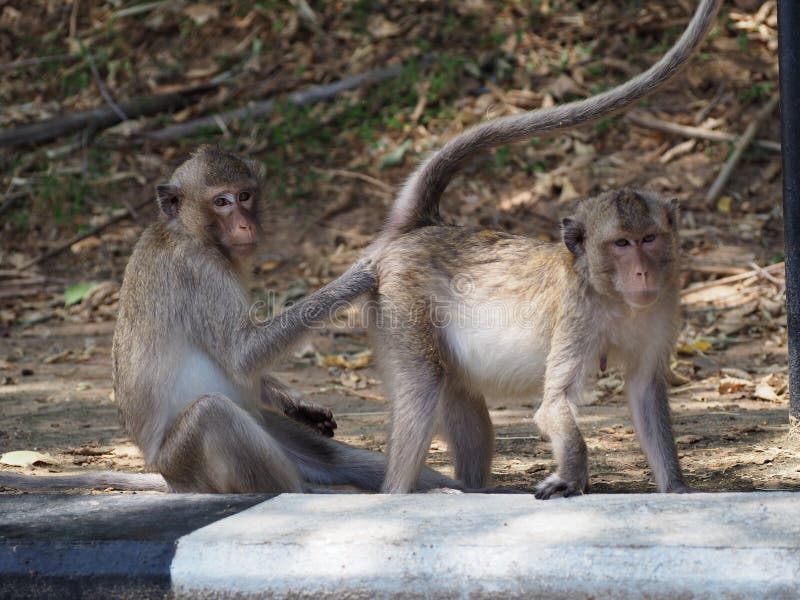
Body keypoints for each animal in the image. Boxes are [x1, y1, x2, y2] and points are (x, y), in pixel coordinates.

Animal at [0, 146, 457, 494]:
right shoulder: (201, 271)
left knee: (328, 455)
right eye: (221, 201)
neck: (191, 232)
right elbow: (241, 356)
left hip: (267, 434)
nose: (243, 223)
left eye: (245, 195)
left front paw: (297, 402)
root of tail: (168, 477)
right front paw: (354, 278)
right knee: (212, 414)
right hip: (188, 462)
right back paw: (309, 492)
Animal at [367, 0, 722, 496]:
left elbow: (645, 391)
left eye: (649, 239)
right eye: (621, 243)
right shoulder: (577, 315)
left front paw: (676, 488)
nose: (642, 272)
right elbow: (554, 403)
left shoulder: (662, 307)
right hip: (402, 307)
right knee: (422, 382)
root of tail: (424, 228)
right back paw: (399, 491)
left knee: (462, 400)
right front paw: (572, 473)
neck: (613, 298)